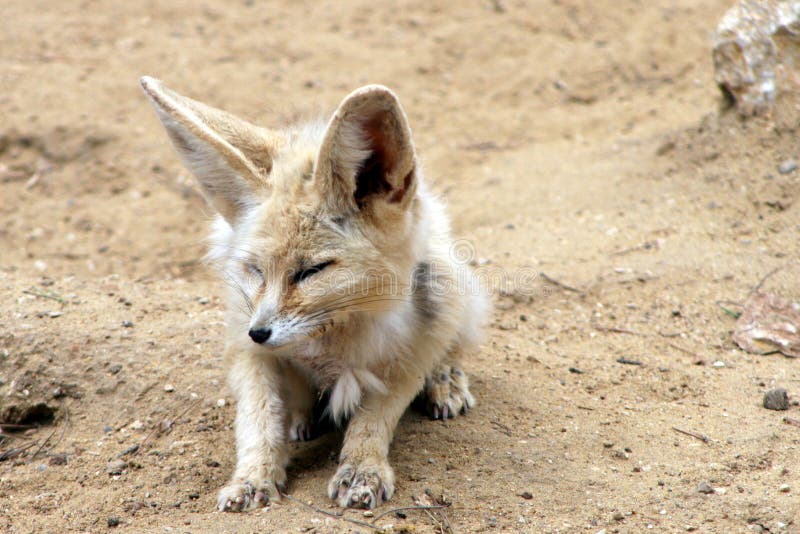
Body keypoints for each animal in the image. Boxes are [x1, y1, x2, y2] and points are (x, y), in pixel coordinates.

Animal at [140, 77, 487, 511]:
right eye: (256, 270)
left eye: (311, 271)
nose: (260, 333)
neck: (328, 340)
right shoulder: (246, 344)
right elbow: (257, 420)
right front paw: (252, 477)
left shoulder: (409, 351)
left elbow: (373, 420)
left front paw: (362, 469)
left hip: (454, 294)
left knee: (454, 344)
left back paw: (445, 379)